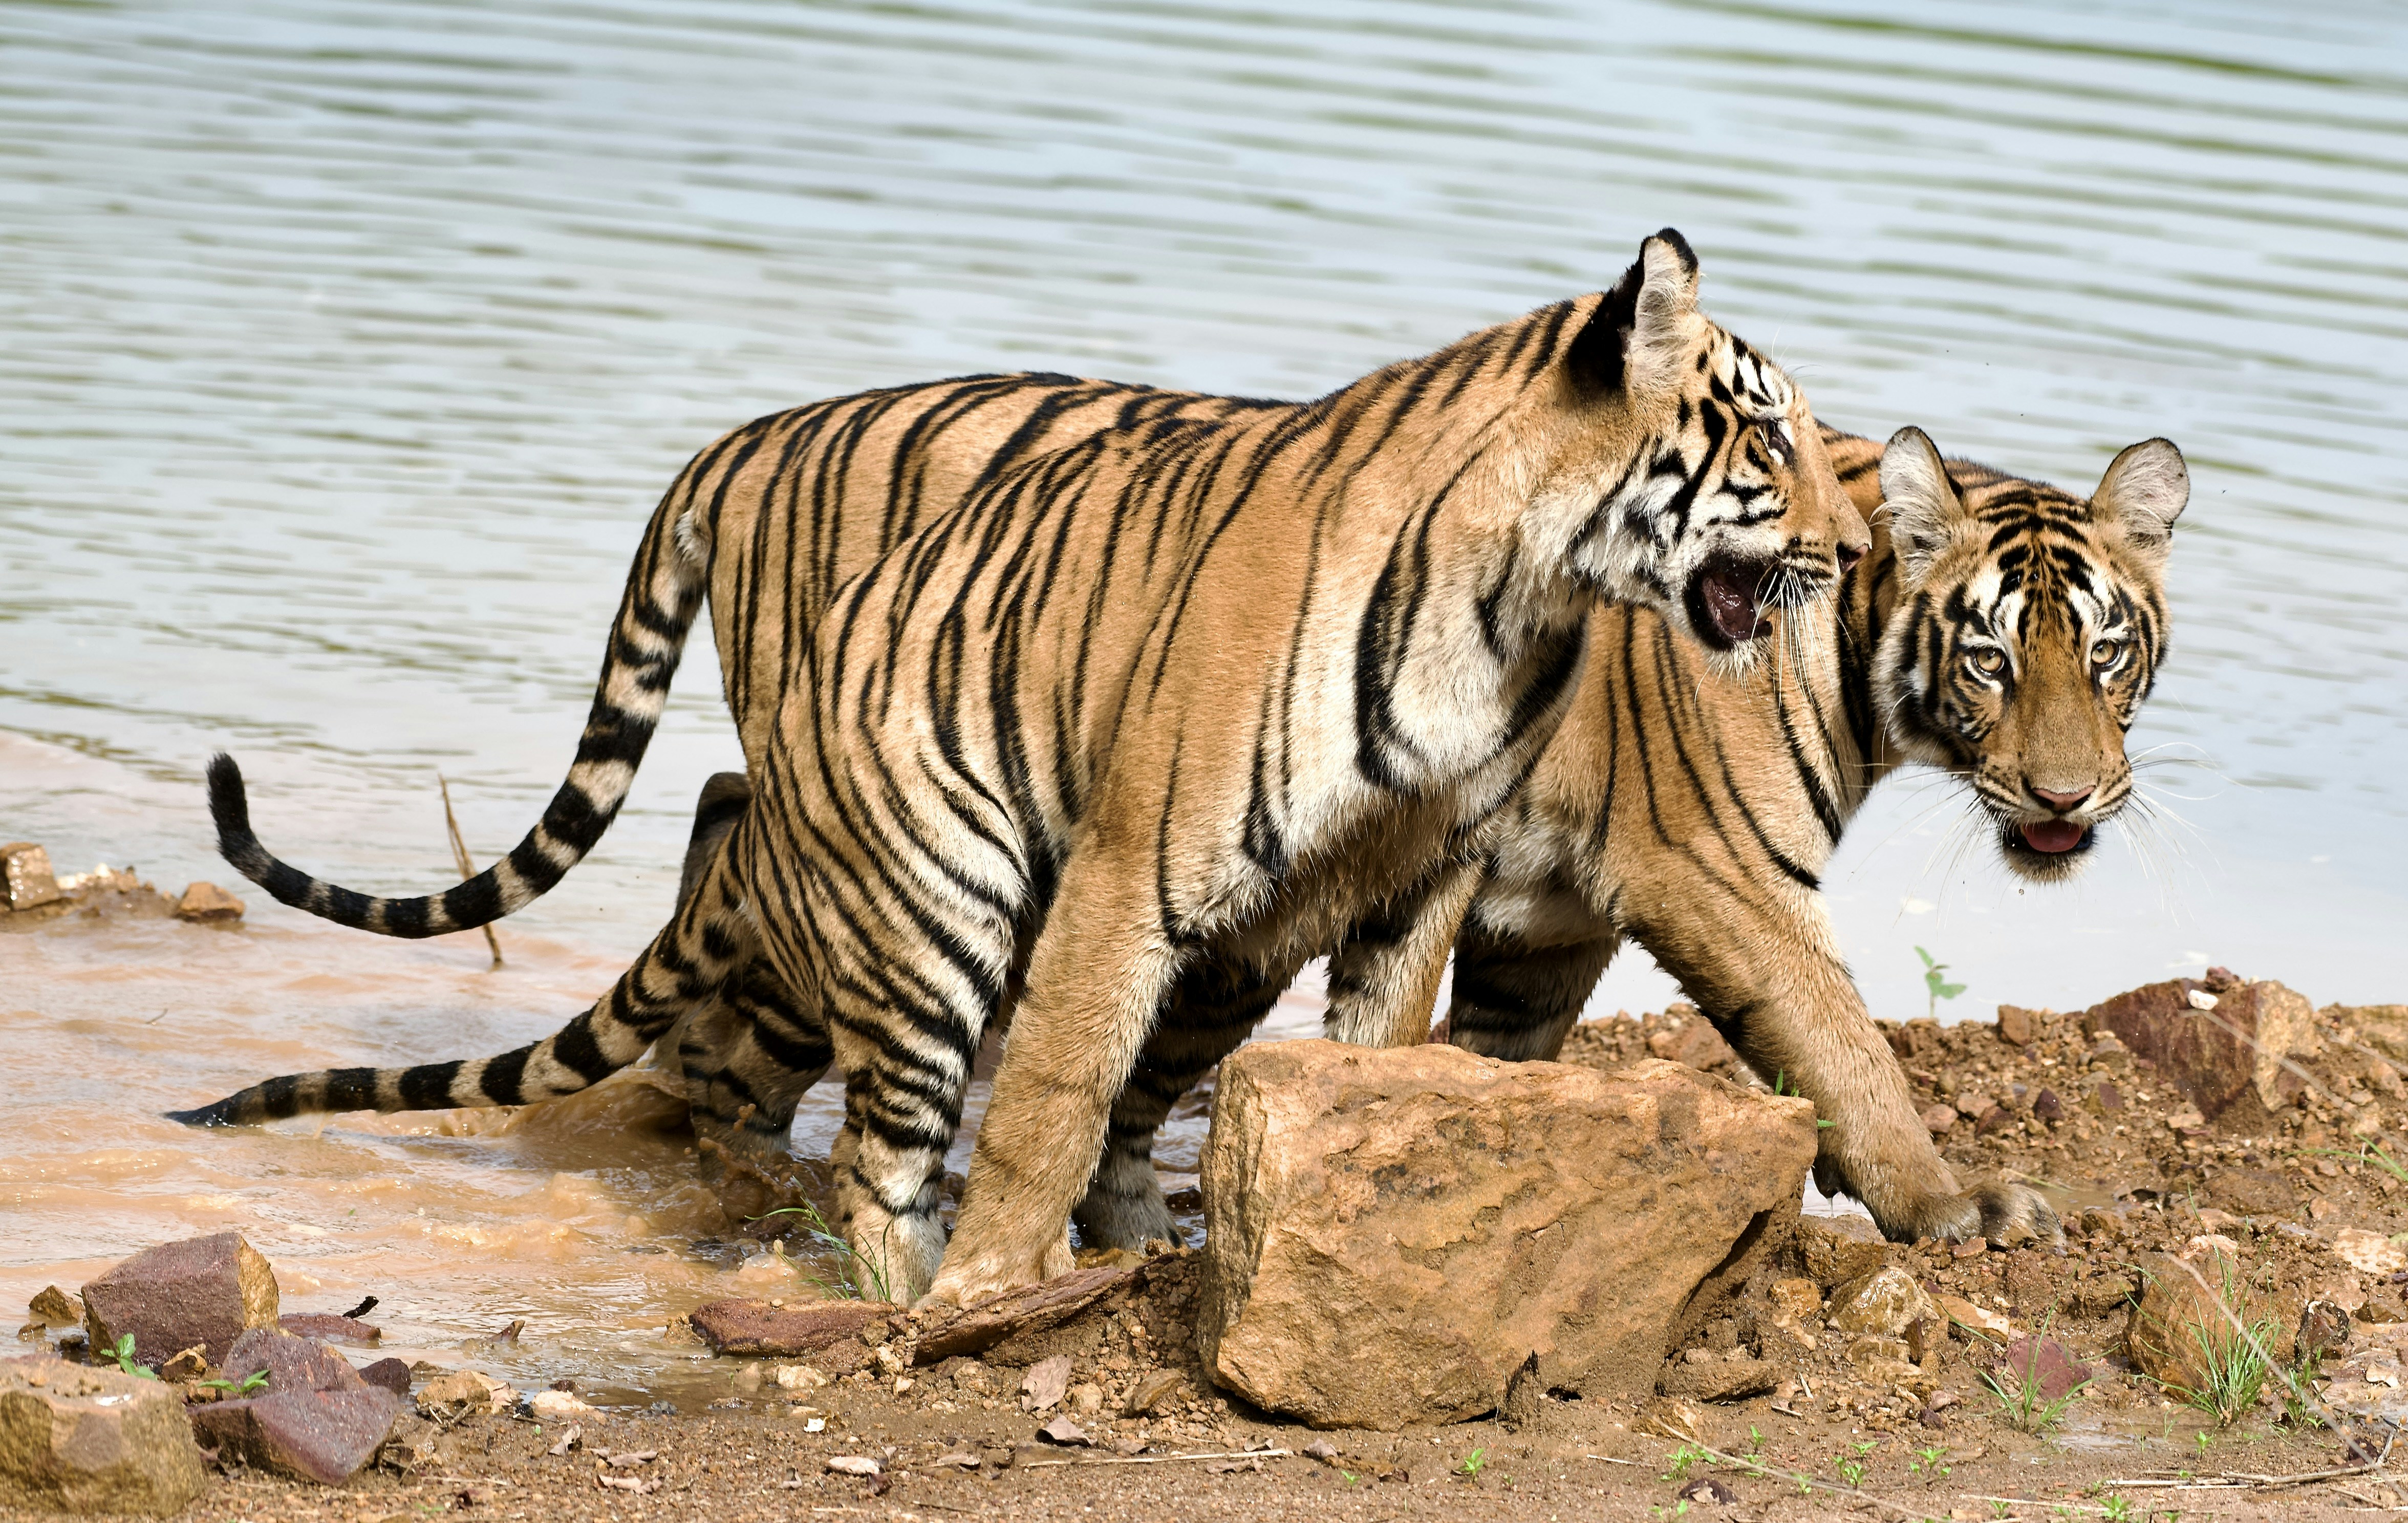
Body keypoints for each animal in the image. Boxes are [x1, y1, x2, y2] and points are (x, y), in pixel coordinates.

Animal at [173, 229, 1869, 1305]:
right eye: (1768, 439)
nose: (1853, 552)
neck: (1523, 600)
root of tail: (728, 443)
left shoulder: (1416, 870)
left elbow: (1377, 1055)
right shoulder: (1134, 858)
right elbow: (1055, 1090)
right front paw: (1006, 1271)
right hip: (943, 892)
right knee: (875, 1137)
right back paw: (919, 1299)